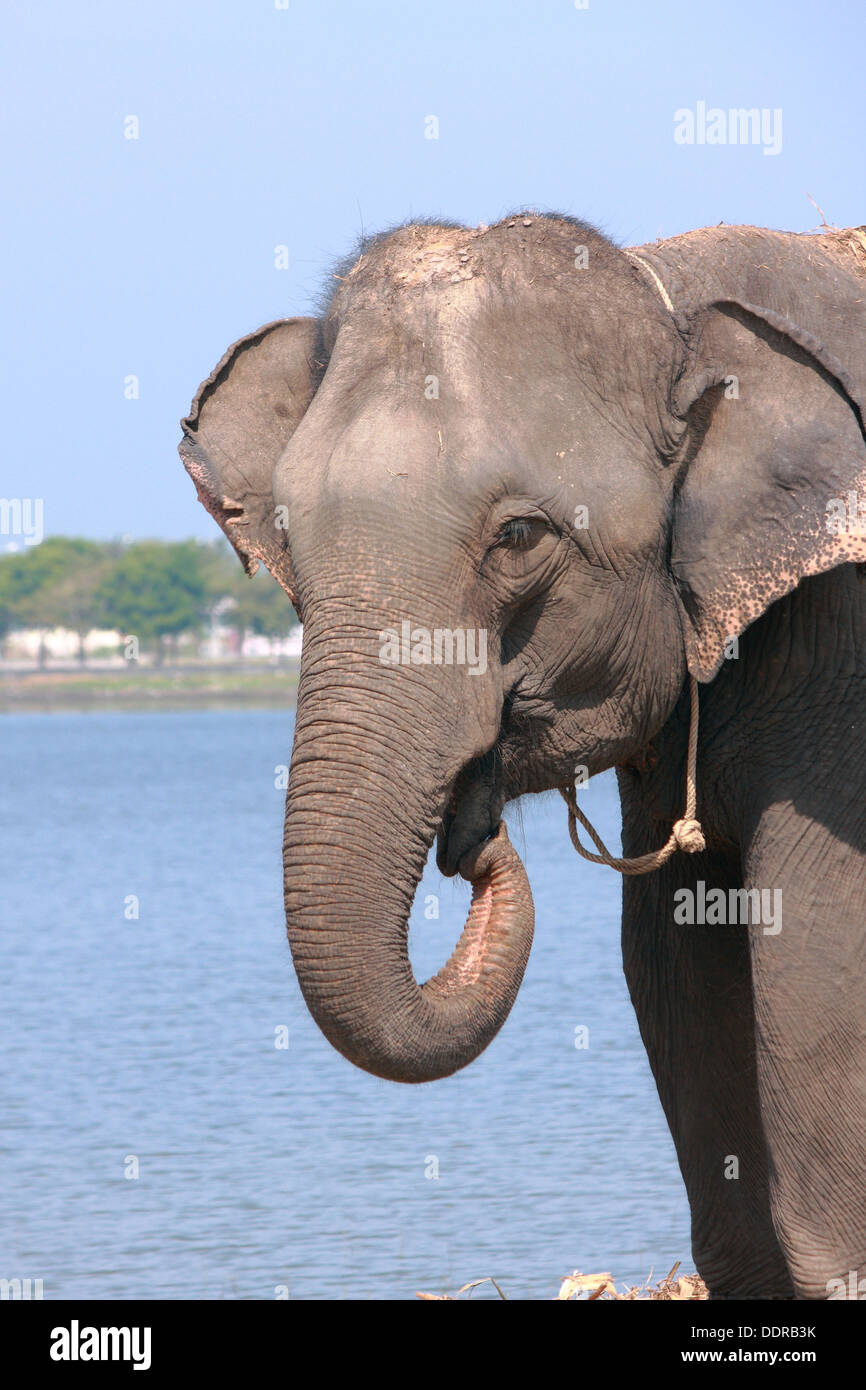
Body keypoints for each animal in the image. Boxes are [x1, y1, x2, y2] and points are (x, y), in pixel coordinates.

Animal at [179, 214, 866, 1300]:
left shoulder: (843, 641)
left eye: (518, 536)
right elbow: (671, 954)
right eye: (288, 539)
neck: (672, 295)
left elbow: (815, 951)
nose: (471, 839)